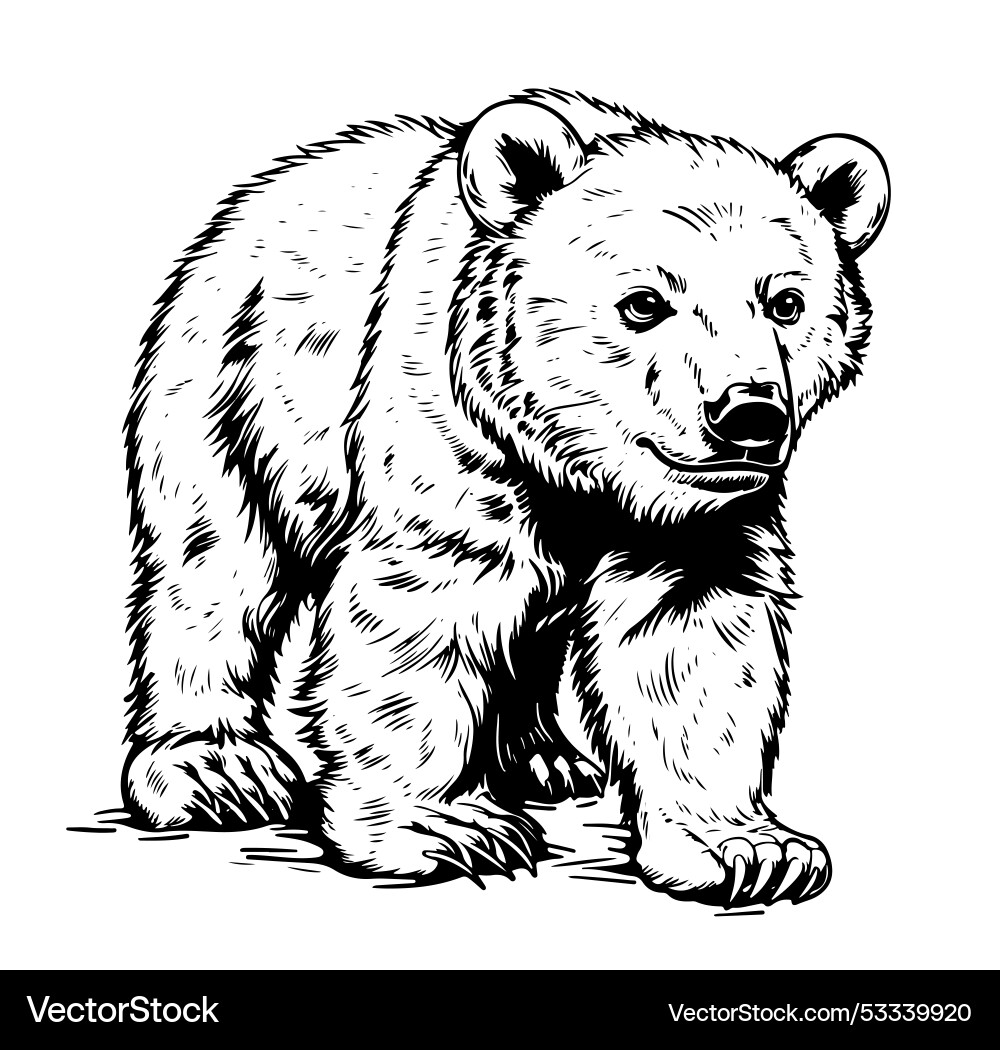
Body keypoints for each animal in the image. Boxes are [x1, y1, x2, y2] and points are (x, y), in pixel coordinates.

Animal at [124, 88, 889, 906]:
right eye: (644, 302)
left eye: (786, 303)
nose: (748, 415)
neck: (579, 467)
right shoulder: (454, 434)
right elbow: (424, 612)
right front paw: (441, 829)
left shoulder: (692, 518)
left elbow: (689, 638)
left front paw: (748, 848)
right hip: (232, 388)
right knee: (215, 569)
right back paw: (214, 767)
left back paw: (544, 759)